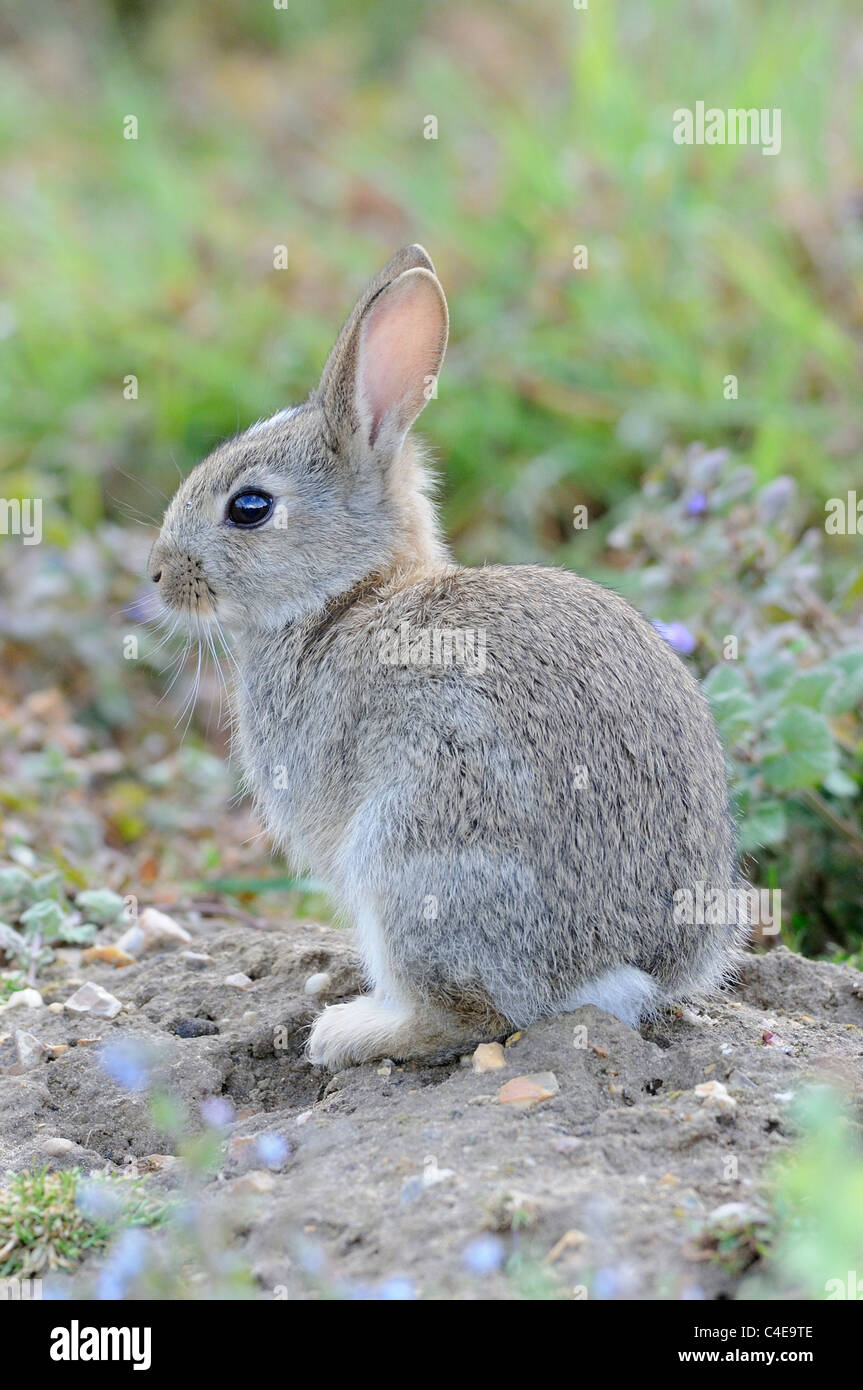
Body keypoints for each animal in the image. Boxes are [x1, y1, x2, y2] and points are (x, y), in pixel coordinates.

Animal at [148, 244, 746, 1070]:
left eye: (249, 508)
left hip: (408, 859)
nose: (159, 574)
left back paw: (349, 1032)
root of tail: (622, 964)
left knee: (468, 1014)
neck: (346, 594)